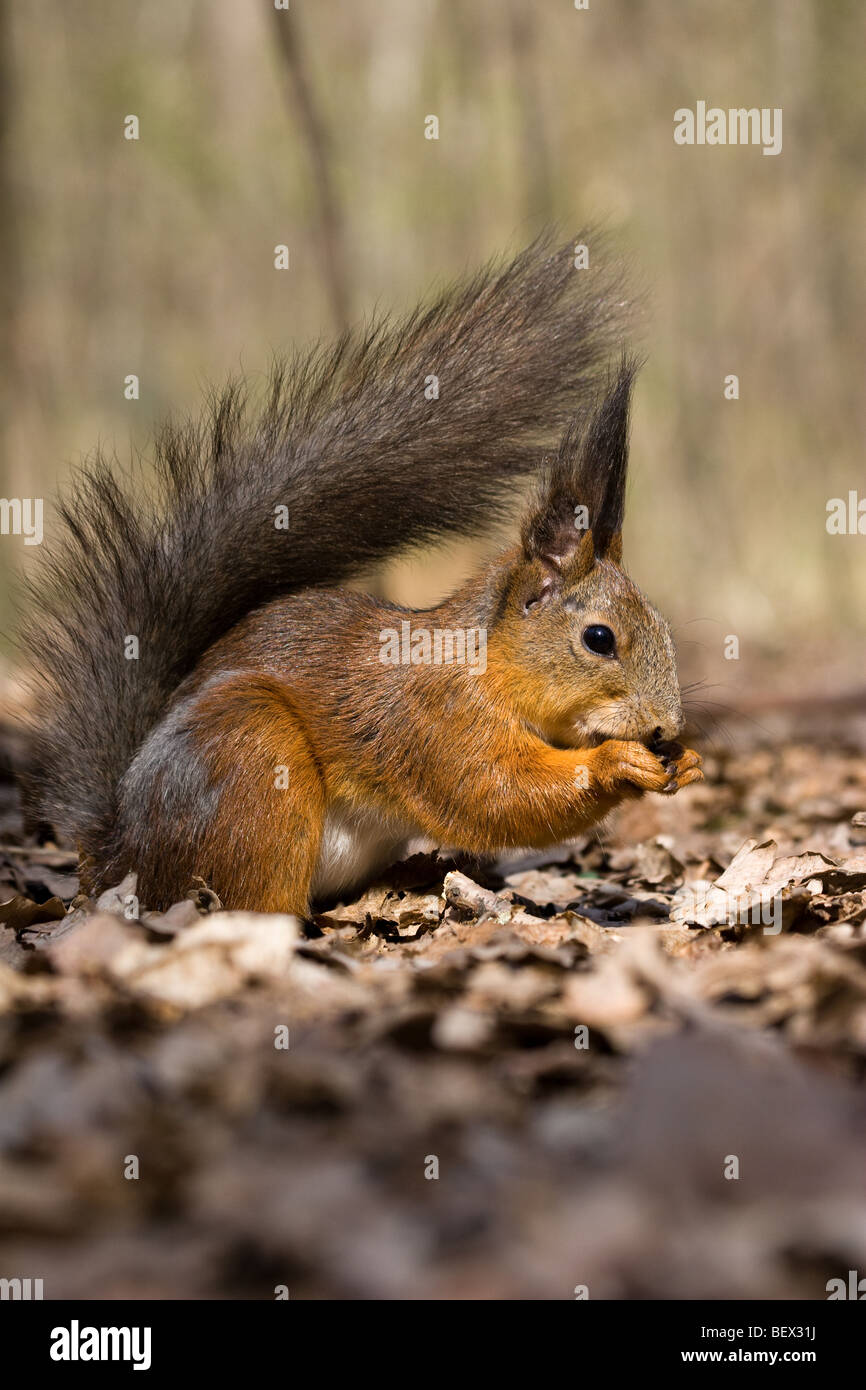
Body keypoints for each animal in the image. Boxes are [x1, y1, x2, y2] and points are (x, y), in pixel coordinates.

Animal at [19, 233, 702, 916]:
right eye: (598, 639)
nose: (668, 726)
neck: (486, 662)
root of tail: (118, 861)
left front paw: (688, 763)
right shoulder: (433, 718)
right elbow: (493, 792)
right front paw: (614, 763)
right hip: (248, 752)